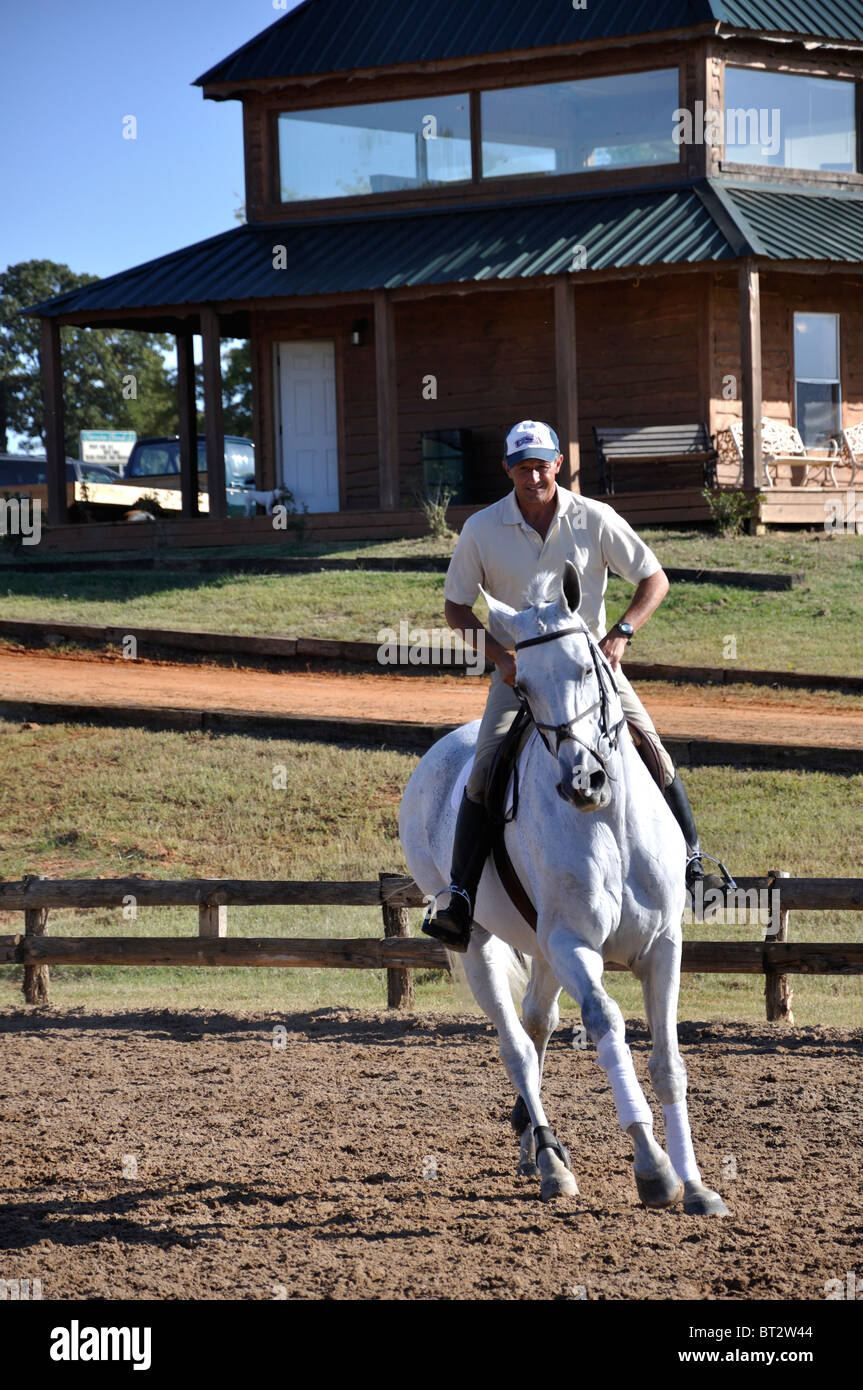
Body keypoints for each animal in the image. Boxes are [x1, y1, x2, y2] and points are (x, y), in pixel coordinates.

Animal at [399, 562, 728, 1216]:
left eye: (586, 667)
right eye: (522, 688)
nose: (584, 782)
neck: (610, 822)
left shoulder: (662, 947)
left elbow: (668, 1062)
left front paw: (698, 1184)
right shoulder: (575, 945)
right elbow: (607, 1025)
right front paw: (654, 1169)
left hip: (542, 948)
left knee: (536, 1024)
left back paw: (532, 1145)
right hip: (480, 943)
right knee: (517, 1046)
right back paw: (551, 1161)